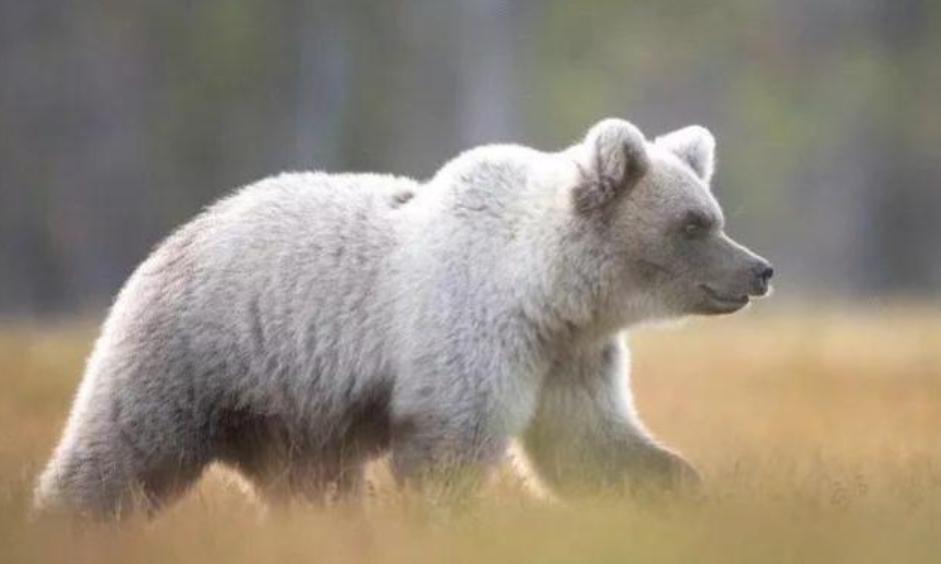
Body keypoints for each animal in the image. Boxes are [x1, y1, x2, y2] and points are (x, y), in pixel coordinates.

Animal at [34, 118, 772, 519]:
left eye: (714, 215)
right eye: (693, 223)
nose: (759, 270)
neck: (549, 291)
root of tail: (170, 240)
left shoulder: (568, 356)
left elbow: (591, 444)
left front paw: (682, 487)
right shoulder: (470, 333)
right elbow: (447, 450)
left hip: (295, 417)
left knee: (312, 489)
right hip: (196, 354)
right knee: (123, 455)